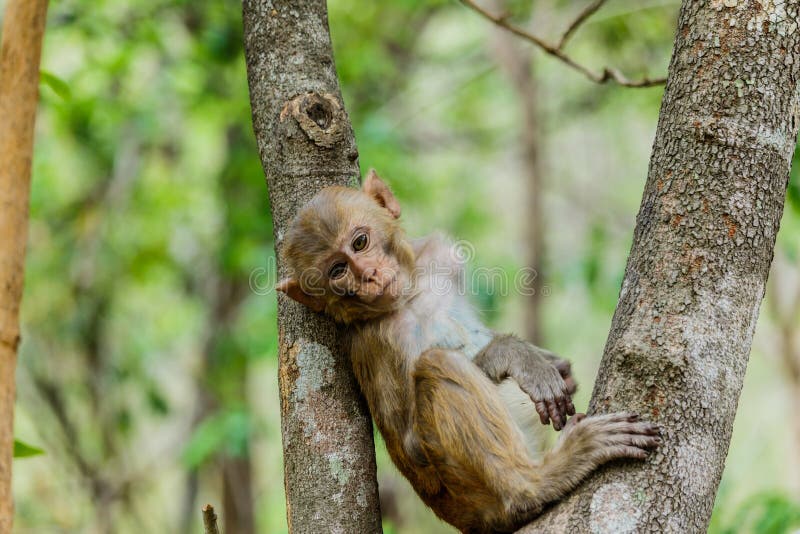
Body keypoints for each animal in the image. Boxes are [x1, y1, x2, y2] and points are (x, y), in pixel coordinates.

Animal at [276, 170, 660, 533]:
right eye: (338, 271)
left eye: (360, 242)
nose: (368, 275)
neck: (411, 296)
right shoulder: (379, 340)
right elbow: (412, 443)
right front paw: (513, 354)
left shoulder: (438, 256)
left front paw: (556, 368)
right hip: (475, 496)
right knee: (437, 365)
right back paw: (537, 481)